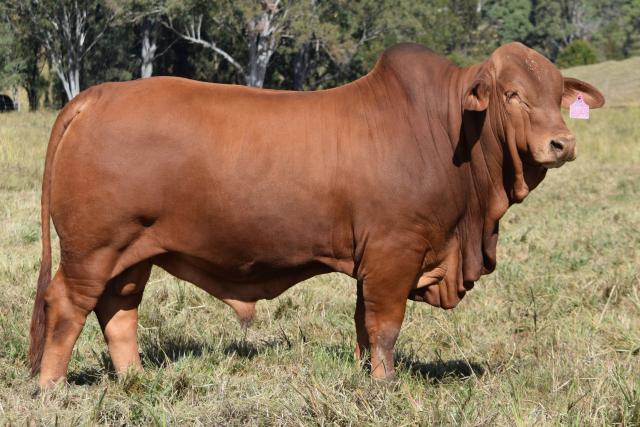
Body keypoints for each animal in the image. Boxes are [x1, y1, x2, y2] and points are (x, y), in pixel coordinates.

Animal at [29, 42, 604, 386]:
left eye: (559, 94)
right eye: (512, 94)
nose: (562, 143)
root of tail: (97, 96)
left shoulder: (374, 260)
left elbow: (364, 327)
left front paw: (367, 377)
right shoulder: (395, 252)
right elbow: (385, 326)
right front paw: (384, 387)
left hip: (133, 253)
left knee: (118, 310)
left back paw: (135, 381)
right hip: (92, 249)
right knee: (68, 305)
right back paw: (52, 388)